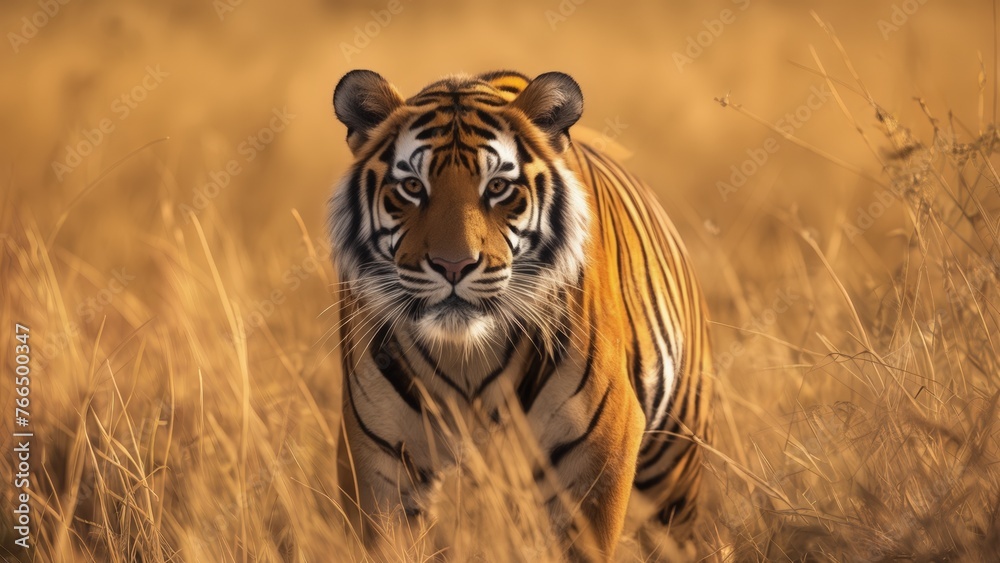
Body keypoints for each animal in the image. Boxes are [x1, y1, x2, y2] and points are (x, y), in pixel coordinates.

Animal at [328, 69, 713, 561]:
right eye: (412, 187)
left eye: (497, 188)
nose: (454, 266)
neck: (465, 356)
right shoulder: (380, 460)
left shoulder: (601, 446)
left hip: (674, 464)